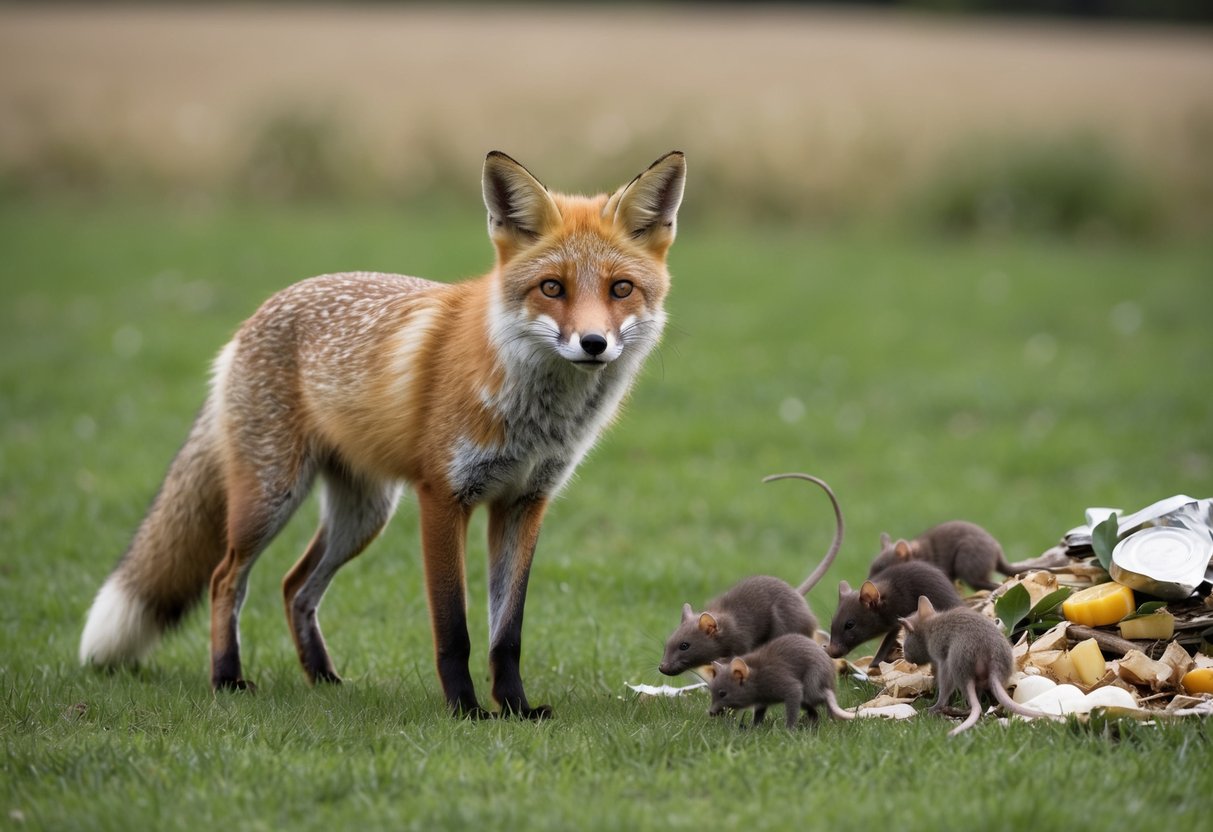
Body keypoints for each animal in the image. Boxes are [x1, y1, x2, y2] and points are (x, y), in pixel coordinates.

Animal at [79, 150, 687, 718]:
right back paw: (227, 677)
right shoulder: (442, 497)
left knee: (294, 586)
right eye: (552, 288)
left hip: (363, 515)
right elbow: (454, 629)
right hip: (271, 498)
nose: (594, 343)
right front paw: (466, 711)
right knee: (226, 578)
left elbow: (506, 634)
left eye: (621, 288)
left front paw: (515, 708)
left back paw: (322, 677)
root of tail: (256, 315)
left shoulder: (524, 502)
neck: (536, 414)